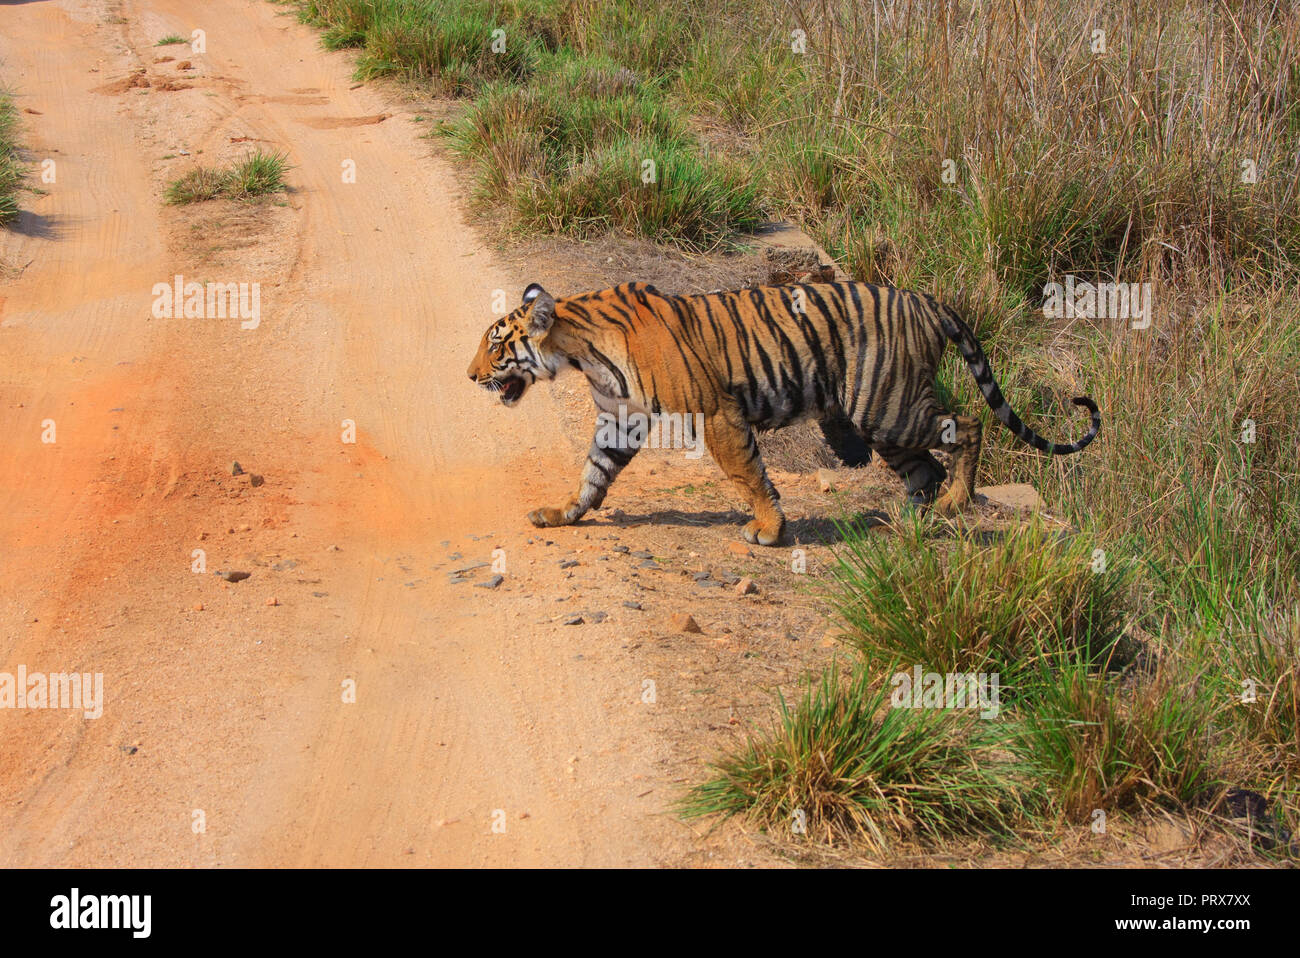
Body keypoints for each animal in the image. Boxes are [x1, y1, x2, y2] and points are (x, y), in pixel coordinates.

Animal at [467, 281, 1100, 545]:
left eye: (496, 347)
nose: (470, 376)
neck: (579, 351)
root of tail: (927, 299)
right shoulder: (619, 420)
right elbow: (593, 474)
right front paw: (564, 514)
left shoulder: (716, 414)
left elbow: (749, 475)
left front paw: (770, 531)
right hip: (884, 419)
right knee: (925, 467)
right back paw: (909, 522)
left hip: (885, 407)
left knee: (968, 425)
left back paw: (954, 503)